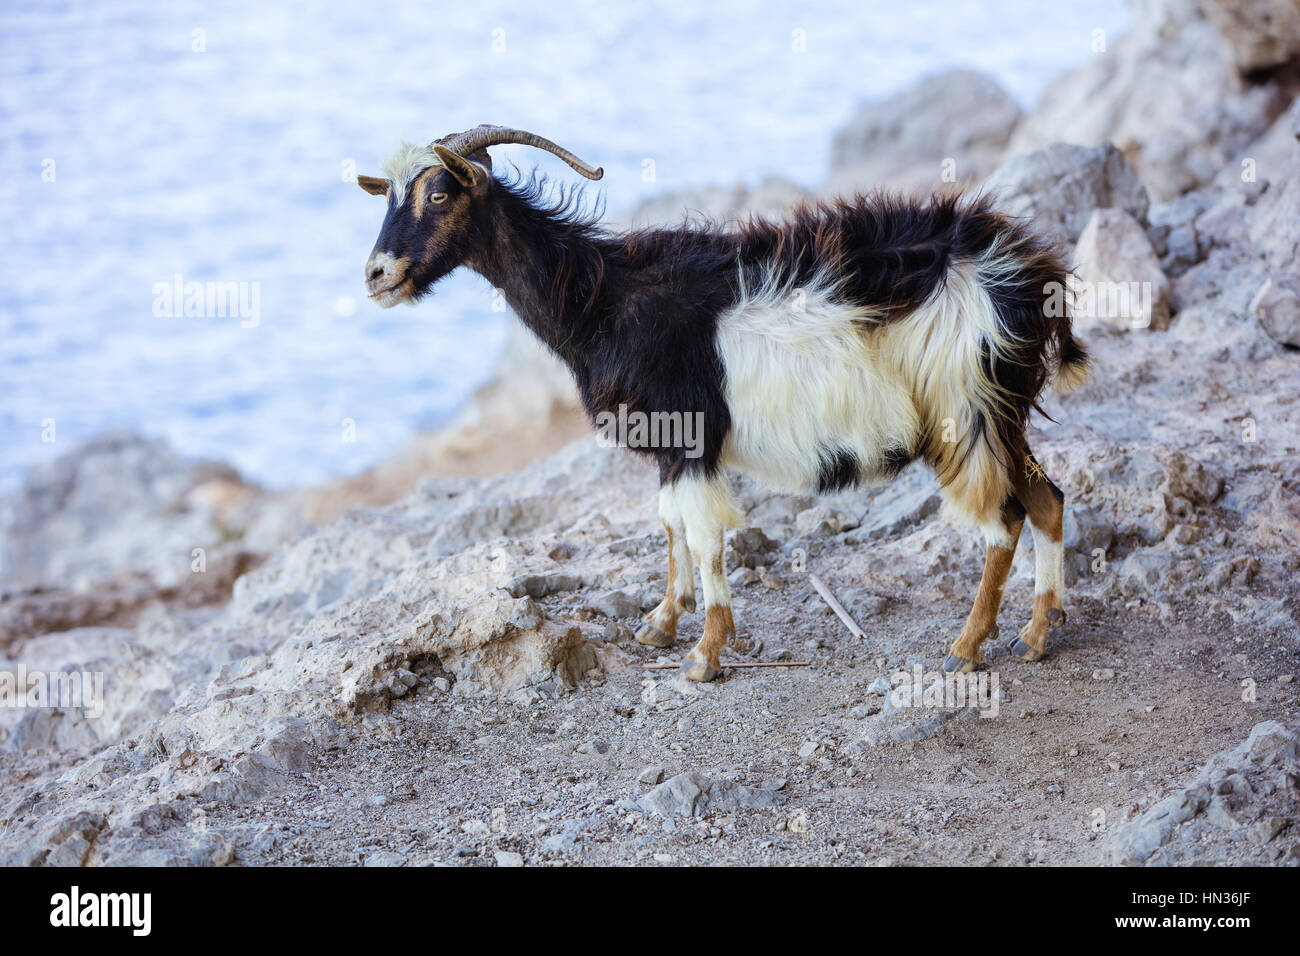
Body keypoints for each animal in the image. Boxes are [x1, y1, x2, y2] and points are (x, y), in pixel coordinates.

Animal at [358, 125, 1091, 682]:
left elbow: (706, 534)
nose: (376, 274)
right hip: (1002, 413)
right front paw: (662, 622)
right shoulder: (665, 444)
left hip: (964, 413)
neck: (603, 300)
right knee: (1047, 499)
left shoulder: (691, 439)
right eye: (387, 195)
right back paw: (1039, 631)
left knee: (1002, 520)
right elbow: (669, 525)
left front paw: (705, 653)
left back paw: (968, 646)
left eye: (440, 191)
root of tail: (1030, 278)